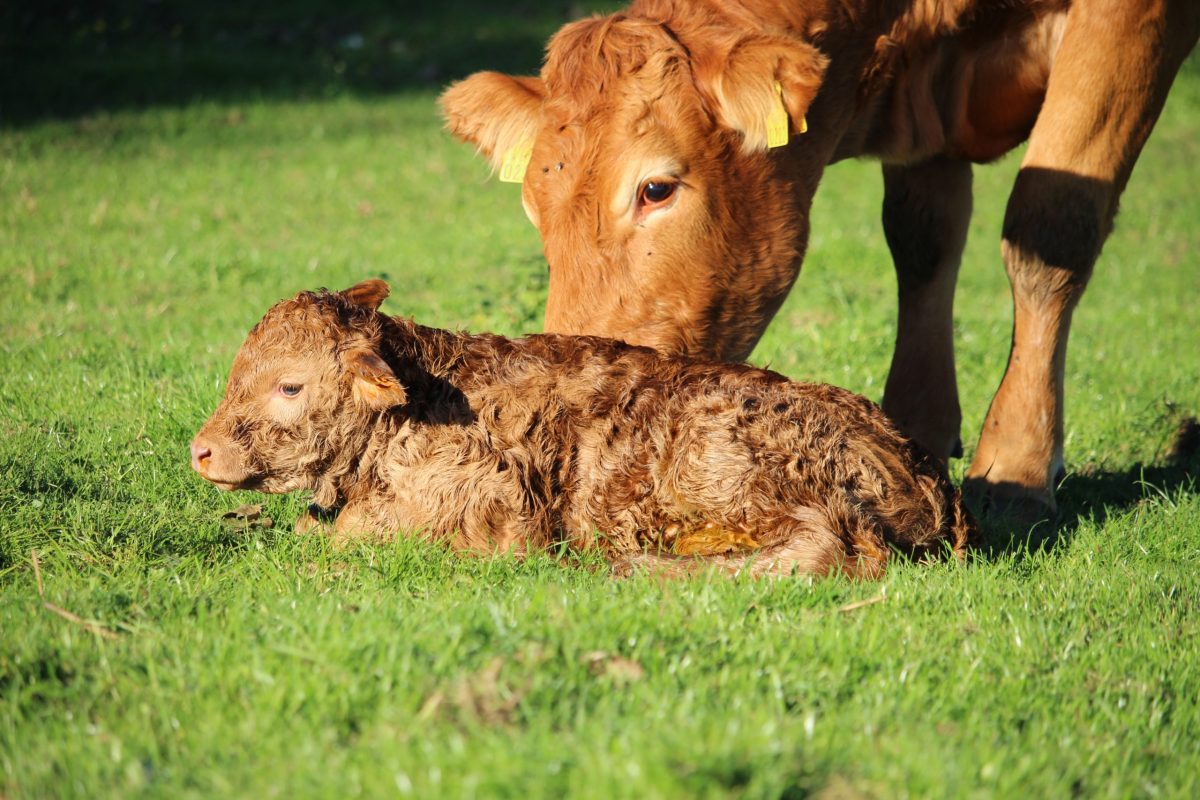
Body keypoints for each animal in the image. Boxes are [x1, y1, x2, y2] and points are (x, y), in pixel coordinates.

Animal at [189, 280, 977, 578]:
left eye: (289, 385)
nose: (201, 449)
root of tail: (921, 472)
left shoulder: (493, 510)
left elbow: (337, 537)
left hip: (723, 467)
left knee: (824, 551)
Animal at [439, 0, 1199, 522]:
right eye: (534, 204)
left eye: (654, 189)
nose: (568, 383)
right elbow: (924, 242)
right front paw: (916, 435)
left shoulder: (1125, 26)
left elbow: (1051, 223)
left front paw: (1018, 468)